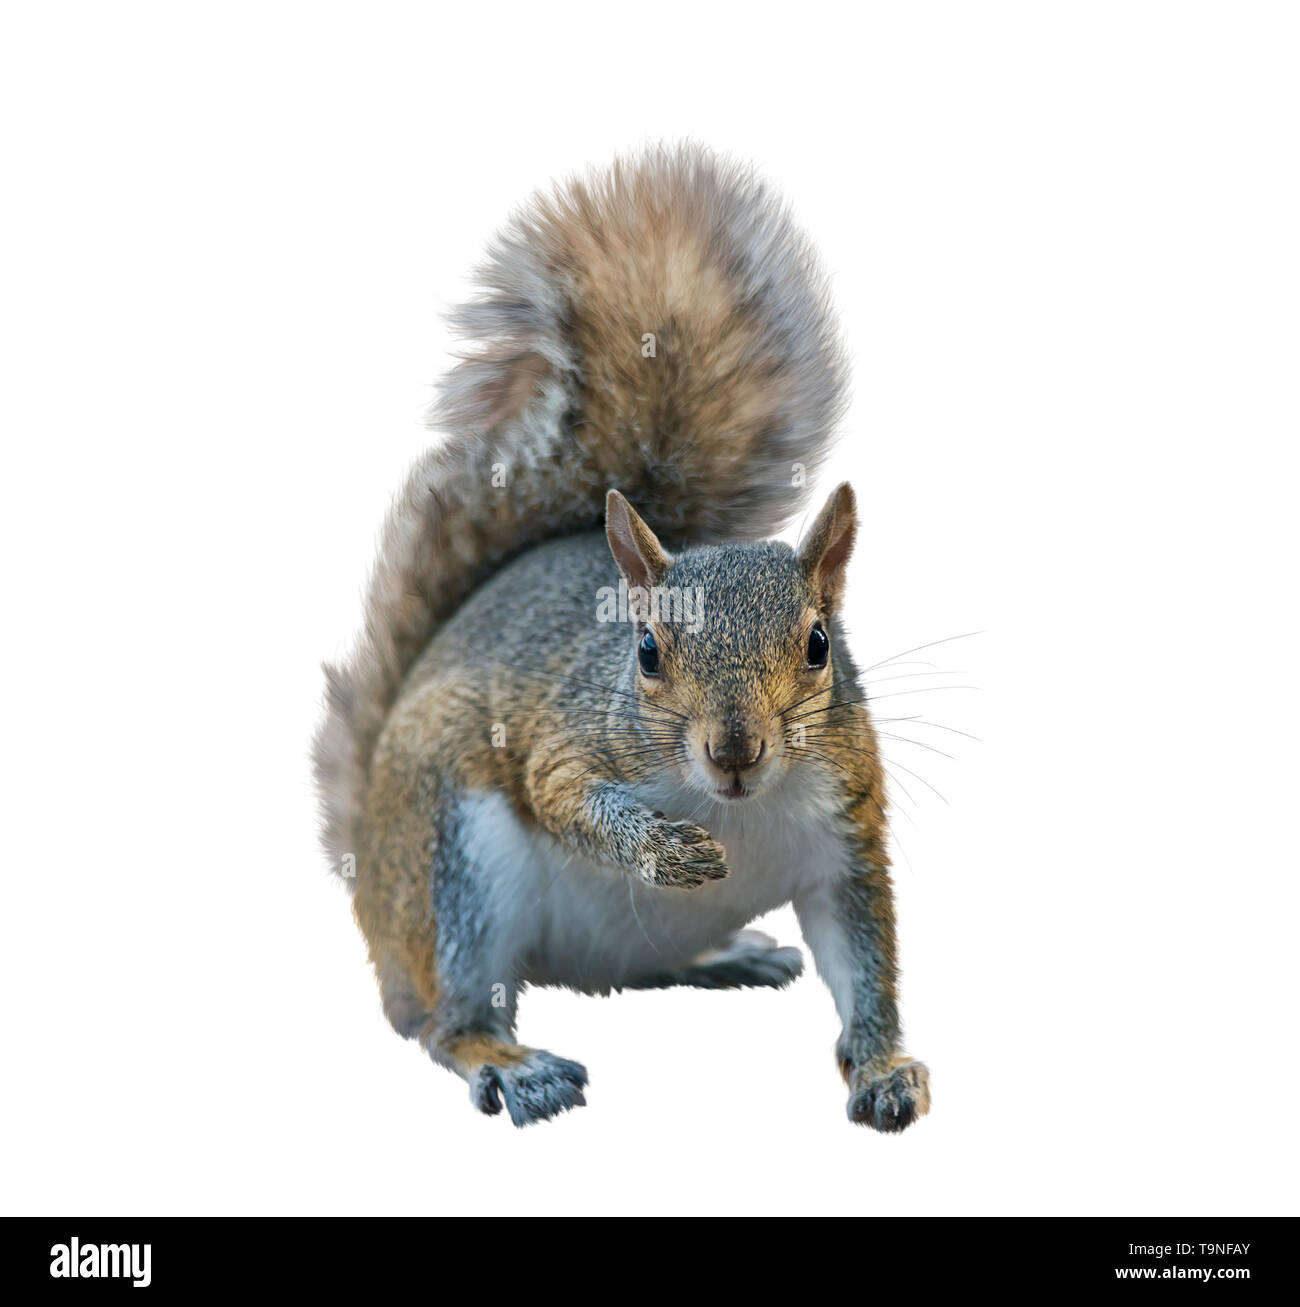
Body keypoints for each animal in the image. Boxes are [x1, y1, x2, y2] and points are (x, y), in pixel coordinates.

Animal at [313, 145, 931, 1131]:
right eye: (645, 651)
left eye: (820, 643)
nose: (734, 752)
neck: (737, 807)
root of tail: (370, 877)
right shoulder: (563, 736)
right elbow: (563, 794)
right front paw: (664, 848)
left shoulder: (846, 830)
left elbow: (867, 963)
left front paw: (882, 1068)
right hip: (452, 863)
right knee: (448, 1023)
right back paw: (512, 1063)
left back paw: (727, 955)